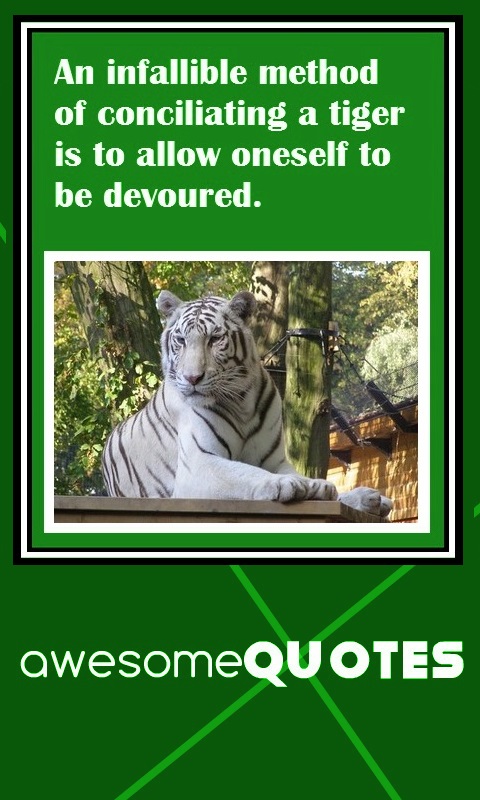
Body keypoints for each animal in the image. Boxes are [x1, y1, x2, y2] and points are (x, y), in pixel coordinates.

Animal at [102, 289, 392, 517]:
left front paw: (316, 486)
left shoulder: (274, 459)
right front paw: (289, 484)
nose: (192, 378)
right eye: (181, 340)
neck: (240, 401)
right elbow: (244, 473)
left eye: (214, 339)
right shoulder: (197, 463)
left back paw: (370, 498)